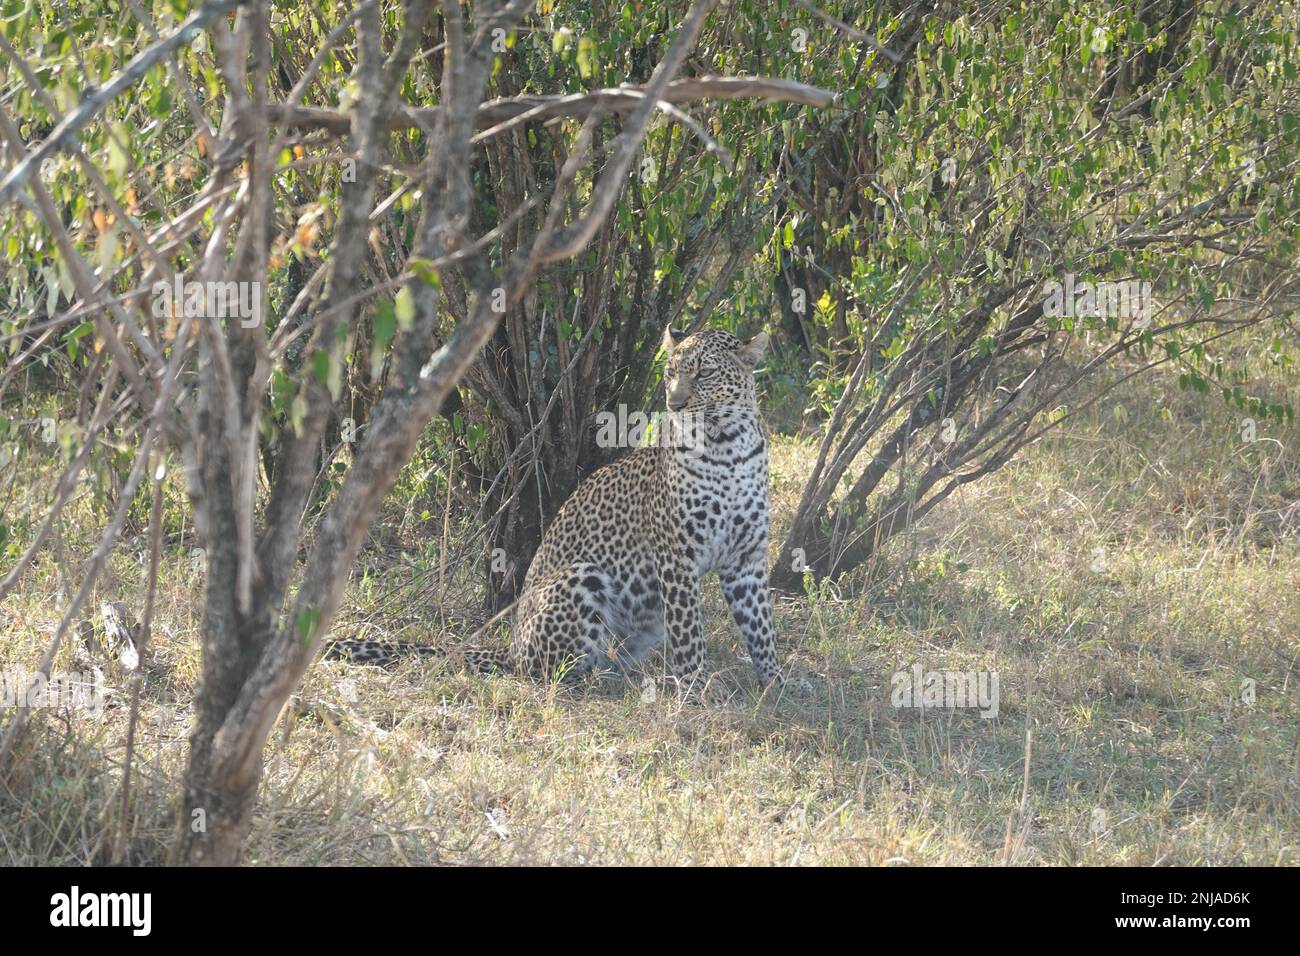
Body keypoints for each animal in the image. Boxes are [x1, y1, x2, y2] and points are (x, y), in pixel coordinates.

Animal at [329, 326, 782, 692]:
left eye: (703, 373)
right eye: (670, 374)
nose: (674, 405)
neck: (728, 447)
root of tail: (510, 647)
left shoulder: (746, 559)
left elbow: (761, 626)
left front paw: (776, 685)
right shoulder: (676, 555)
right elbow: (689, 631)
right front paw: (695, 687)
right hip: (580, 577)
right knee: (549, 671)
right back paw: (610, 685)